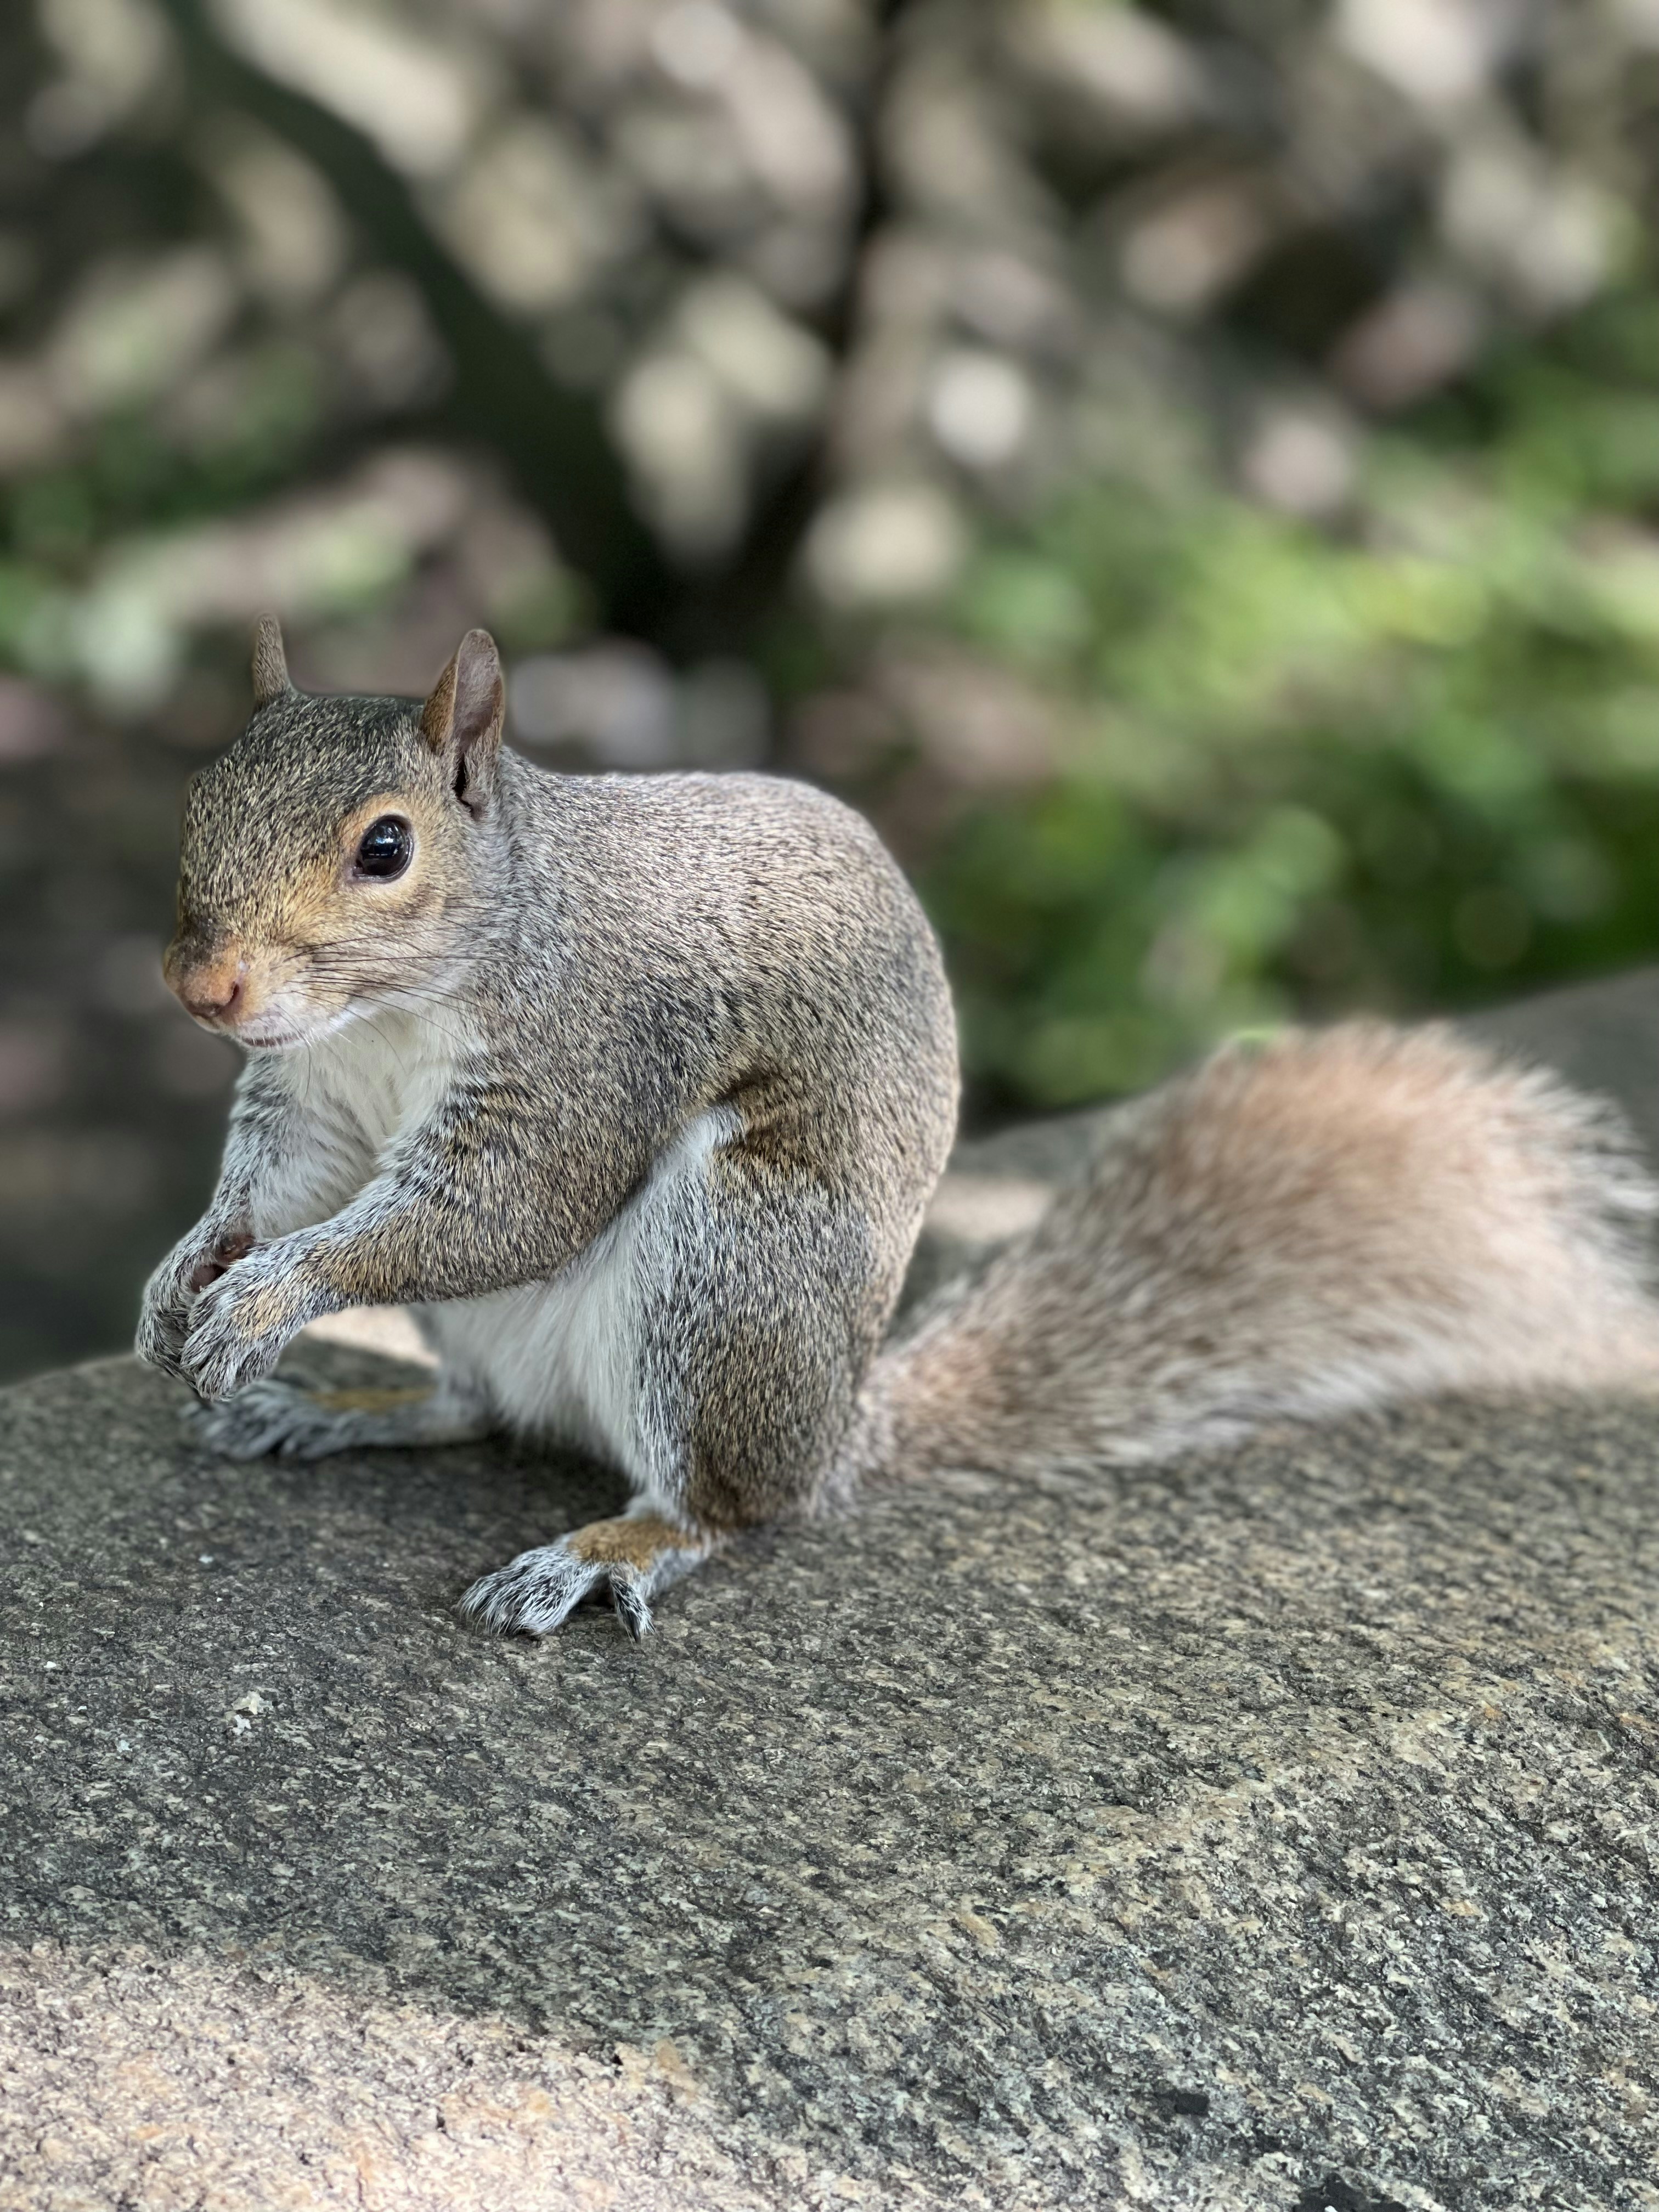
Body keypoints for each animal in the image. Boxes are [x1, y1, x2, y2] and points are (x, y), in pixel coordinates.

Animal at [137, 618, 1659, 1637]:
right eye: (194, 802)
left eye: (386, 848)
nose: (203, 990)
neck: (389, 1014)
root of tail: (835, 1428)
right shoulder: (311, 1099)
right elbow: (284, 1186)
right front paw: (190, 1277)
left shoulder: (585, 1057)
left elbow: (498, 1208)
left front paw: (271, 1295)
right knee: (478, 1407)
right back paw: (348, 1408)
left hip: (732, 1266)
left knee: (728, 1510)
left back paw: (613, 1546)